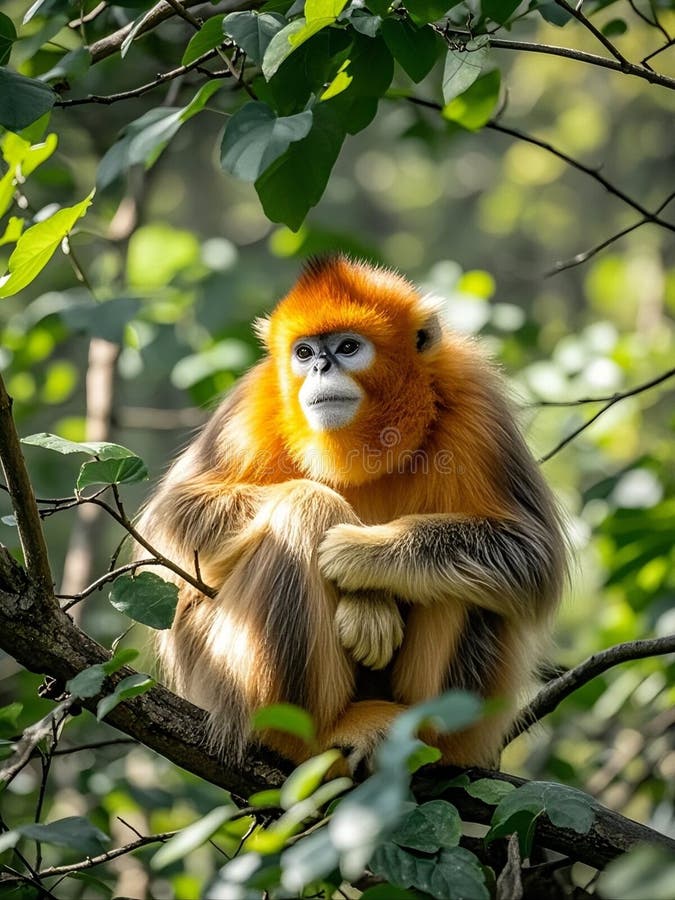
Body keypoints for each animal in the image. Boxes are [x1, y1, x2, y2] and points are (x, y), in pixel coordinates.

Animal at [136, 255, 566, 771]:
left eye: (347, 347)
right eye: (304, 353)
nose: (321, 366)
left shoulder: (474, 397)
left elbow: (530, 554)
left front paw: (361, 556)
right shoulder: (254, 403)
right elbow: (171, 519)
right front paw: (337, 530)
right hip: (222, 679)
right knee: (294, 526)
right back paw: (315, 737)